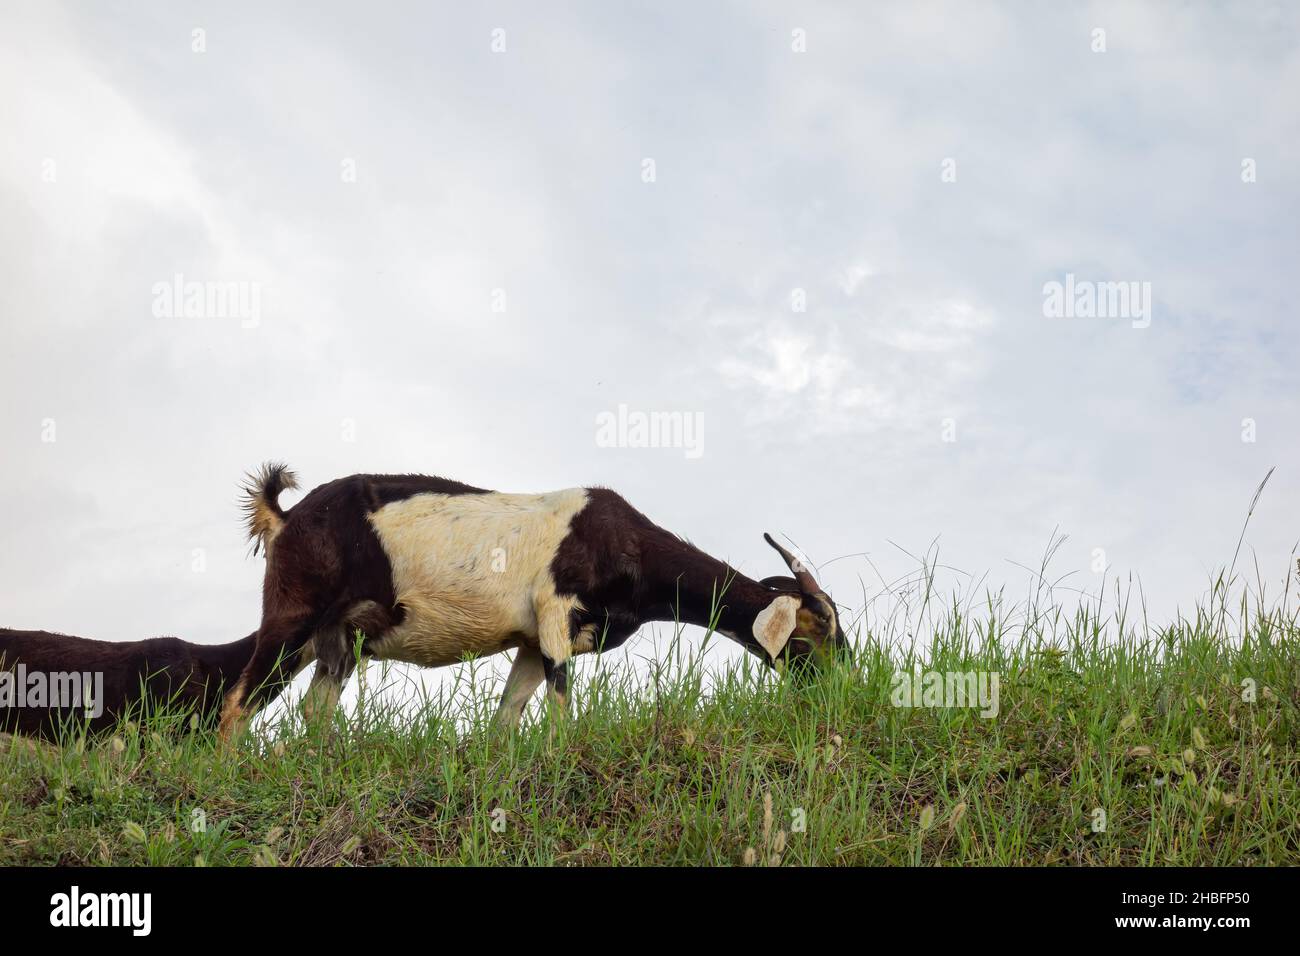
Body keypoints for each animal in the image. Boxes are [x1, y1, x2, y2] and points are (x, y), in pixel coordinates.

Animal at [219, 463, 847, 739]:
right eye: (813, 632)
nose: (841, 686)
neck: (623, 542)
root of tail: (285, 517)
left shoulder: (525, 641)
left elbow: (507, 718)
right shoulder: (554, 615)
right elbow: (562, 706)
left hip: (338, 639)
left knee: (313, 707)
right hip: (292, 617)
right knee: (237, 703)